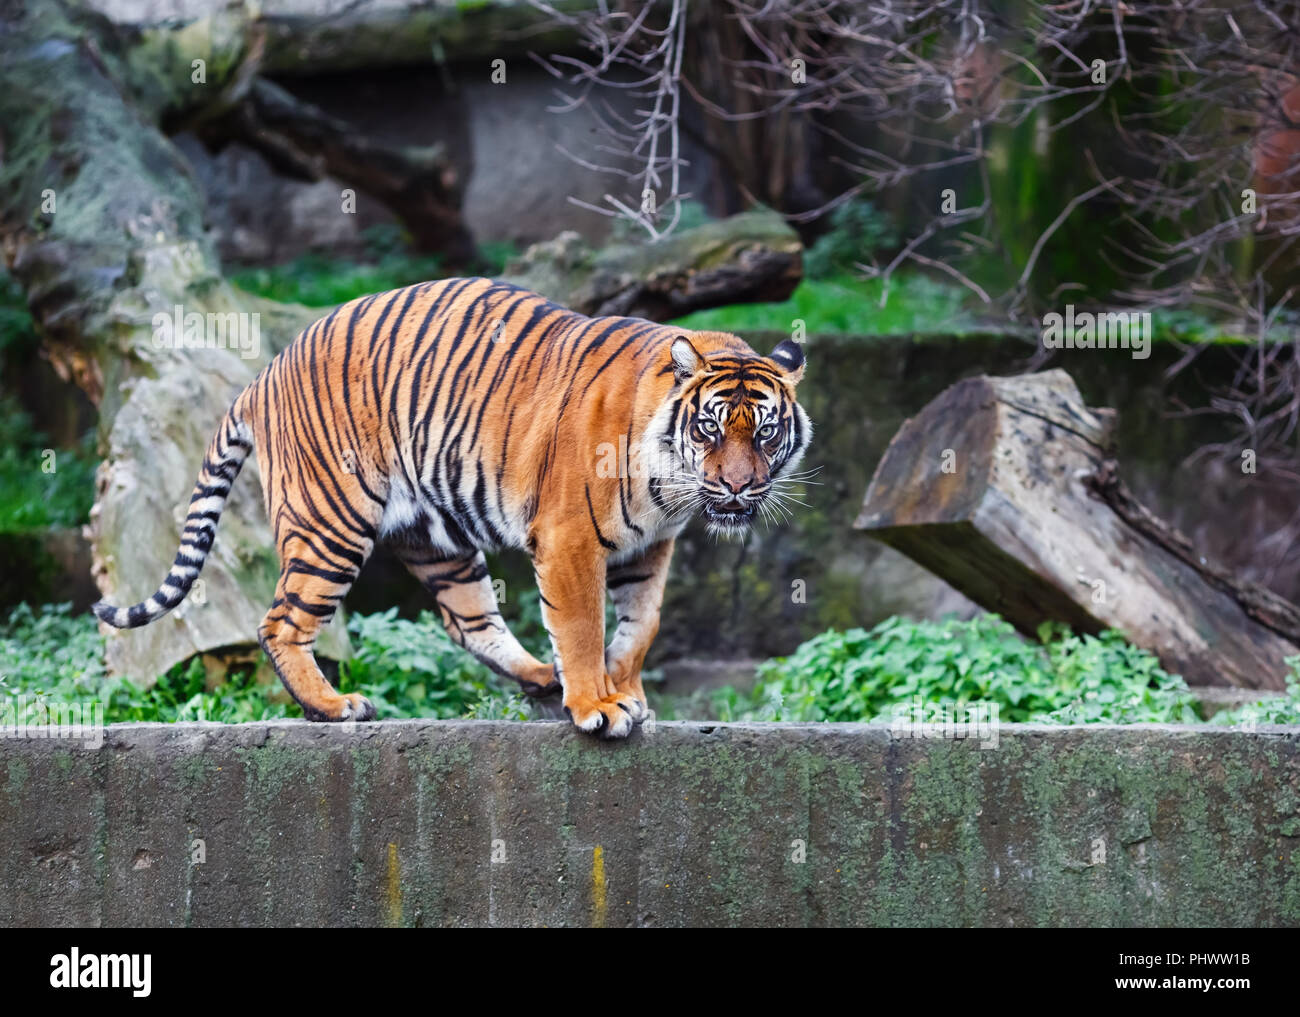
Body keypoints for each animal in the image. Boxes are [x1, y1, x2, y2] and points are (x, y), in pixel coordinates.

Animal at [94, 277, 812, 738]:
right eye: (710, 429)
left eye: (765, 433)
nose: (739, 489)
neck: (669, 484)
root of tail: (264, 372)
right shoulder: (571, 539)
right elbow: (583, 624)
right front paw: (597, 704)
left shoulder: (649, 545)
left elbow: (640, 628)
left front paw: (626, 692)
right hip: (332, 522)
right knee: (281, 621)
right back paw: (334, 707)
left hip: (434, 539)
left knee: (468, 621)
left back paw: (541, 678)